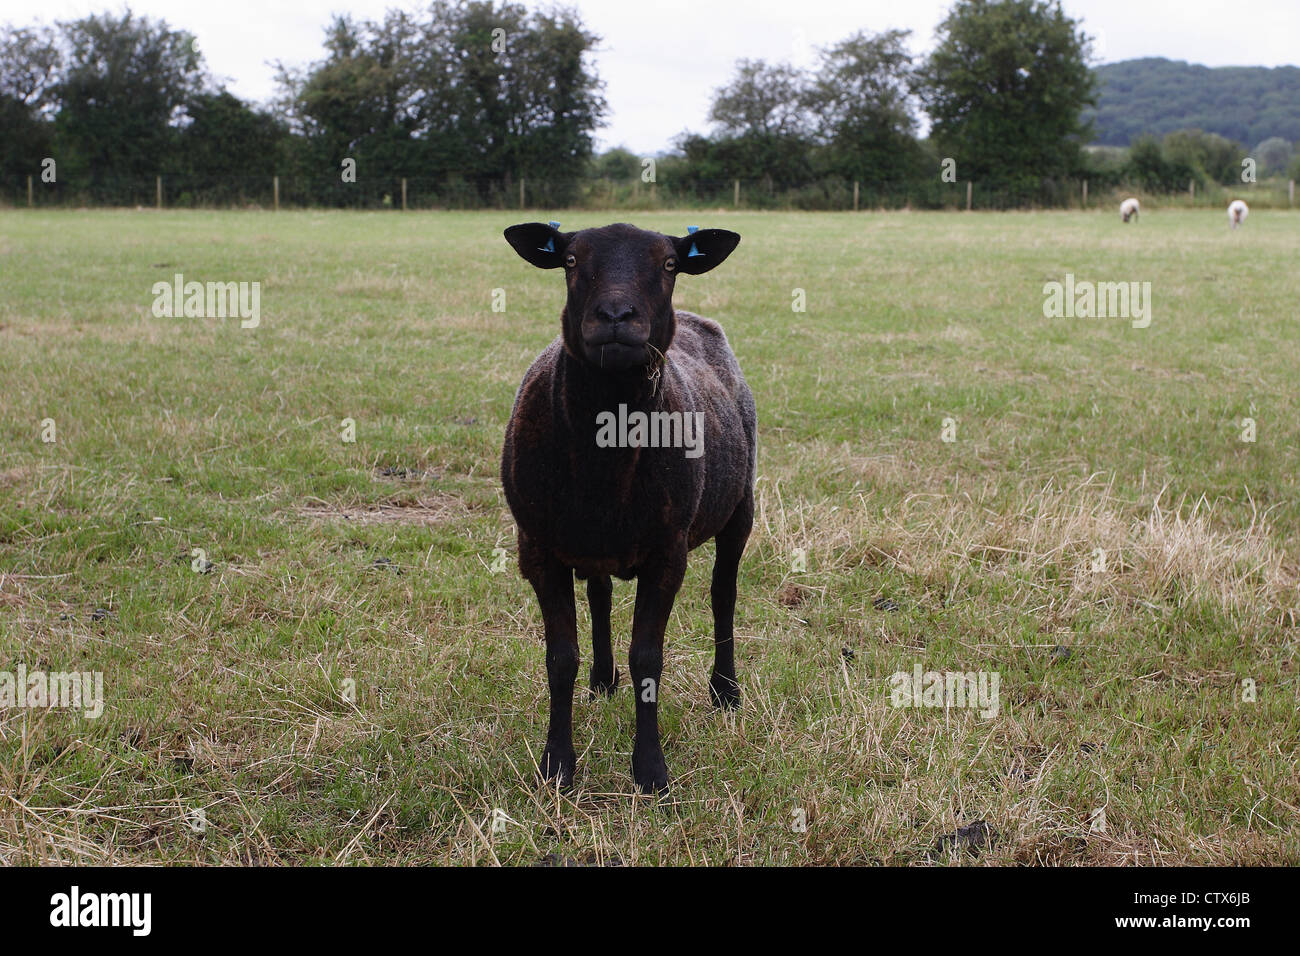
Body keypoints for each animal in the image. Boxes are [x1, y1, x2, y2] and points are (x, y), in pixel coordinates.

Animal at [501, 221, 755, 794]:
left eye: (669, 264)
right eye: (571, 260)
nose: (616, 316)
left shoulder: (667, 553)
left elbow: (648, 662)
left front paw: (651, 772)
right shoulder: (538, 550)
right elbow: (560, 661)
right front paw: (557, 766)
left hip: (741, 505)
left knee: (723, 595)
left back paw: (725, 691)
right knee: (598, 593)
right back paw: (602, 678)